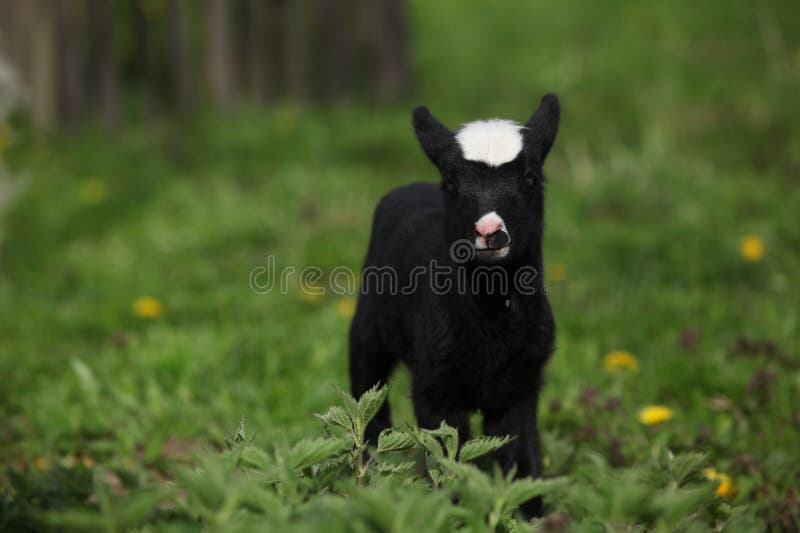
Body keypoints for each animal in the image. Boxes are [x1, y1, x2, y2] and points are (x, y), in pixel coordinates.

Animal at [349, 94, 560, 517]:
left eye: (529, 178)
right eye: (451, 182)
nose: (489, 233)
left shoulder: (521, 385)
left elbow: (522, 461)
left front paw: (531, 517)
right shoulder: (435, 389)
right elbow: (449, 462)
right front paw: (453, 515)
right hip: (368, 326)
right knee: (368, 397)